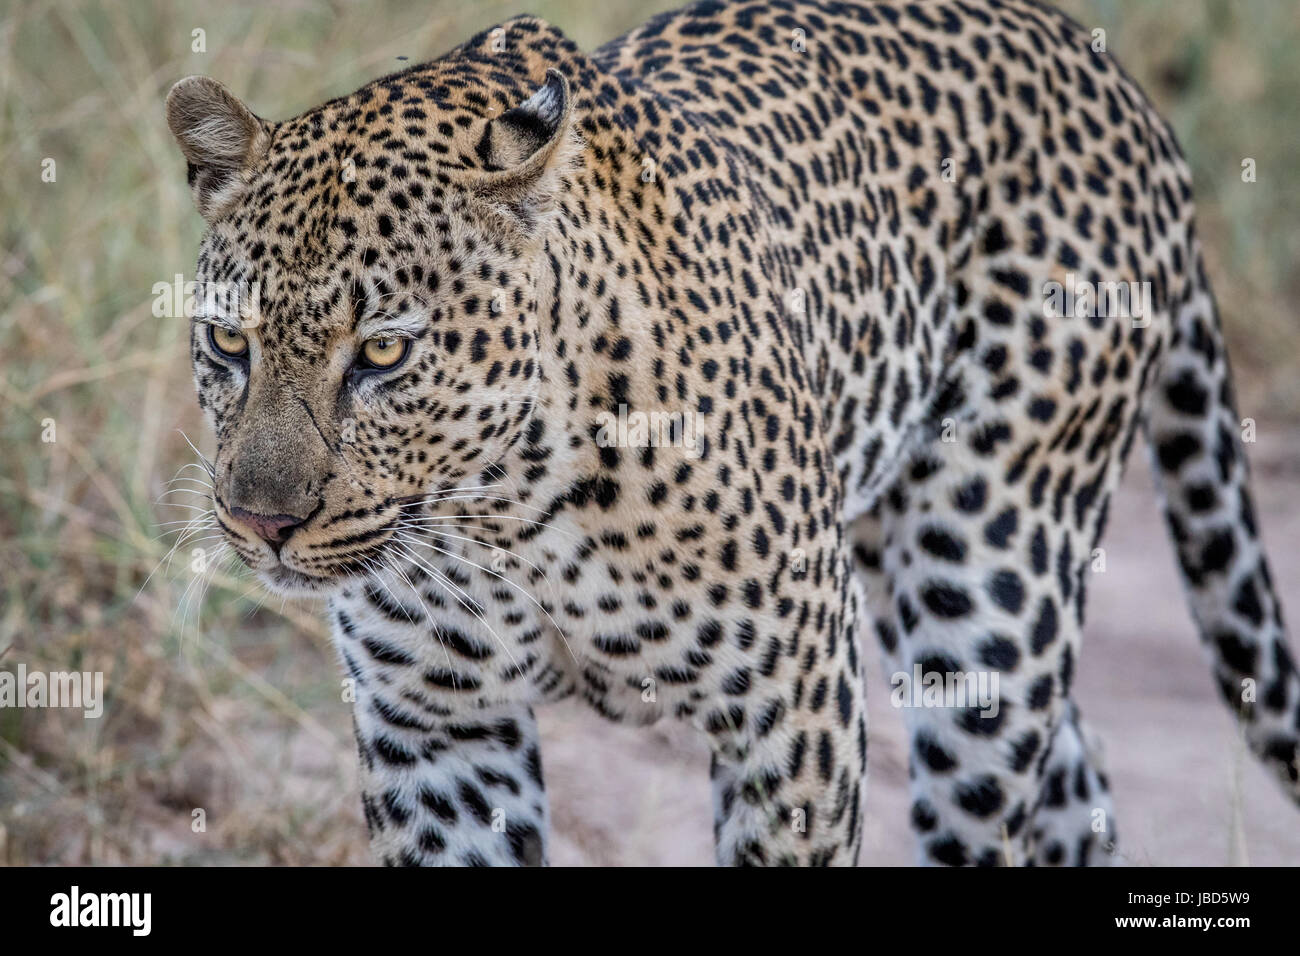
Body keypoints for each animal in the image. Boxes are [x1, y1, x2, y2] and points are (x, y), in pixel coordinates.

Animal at [164, 0, 1299, 866]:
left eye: (384, 355)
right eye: (226, 340)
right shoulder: (435, 727)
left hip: (989, 575)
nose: (258, 524)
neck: (504, 516)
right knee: (1077, 770)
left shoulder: (792, 707)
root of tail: (1108, 71)